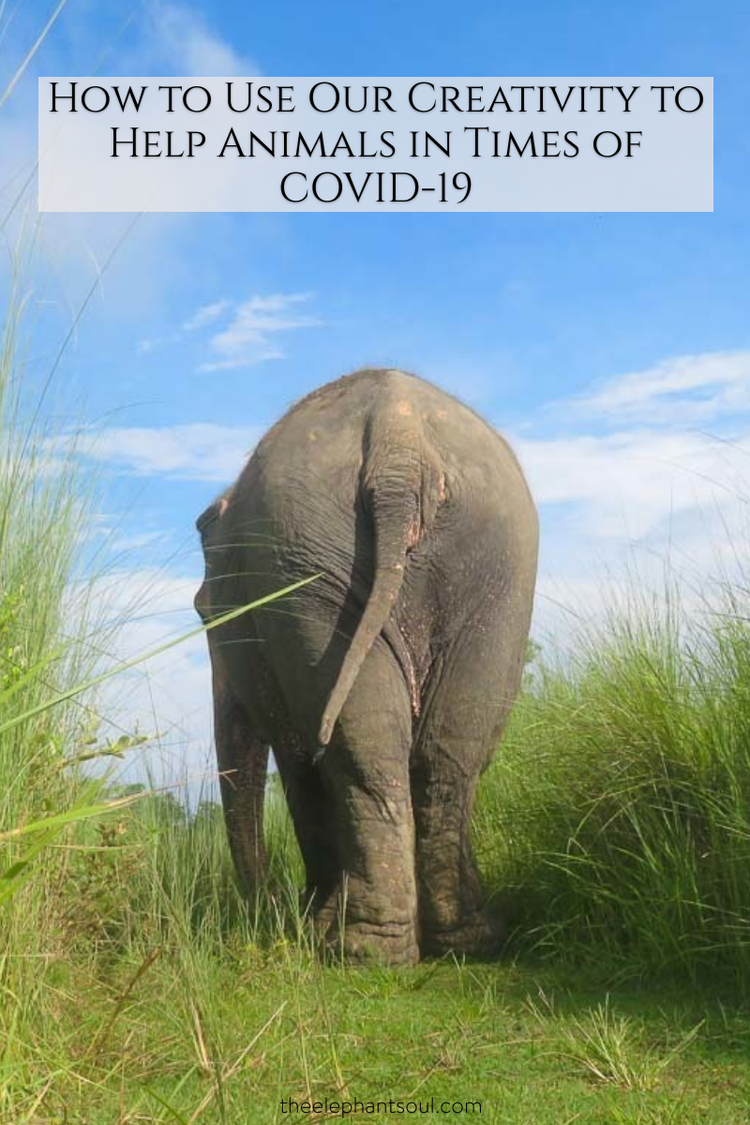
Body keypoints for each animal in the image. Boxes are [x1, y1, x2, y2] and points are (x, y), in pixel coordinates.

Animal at [194, 367, 538, 965]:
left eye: (202, 611)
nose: (261, 906)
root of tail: (399, 446)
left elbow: (298, 760)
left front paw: (312, 923)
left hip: (324, 567)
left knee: (358, 751)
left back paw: (361, 951)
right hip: (479, 564)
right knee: (445, 754)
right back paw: (459, 940)